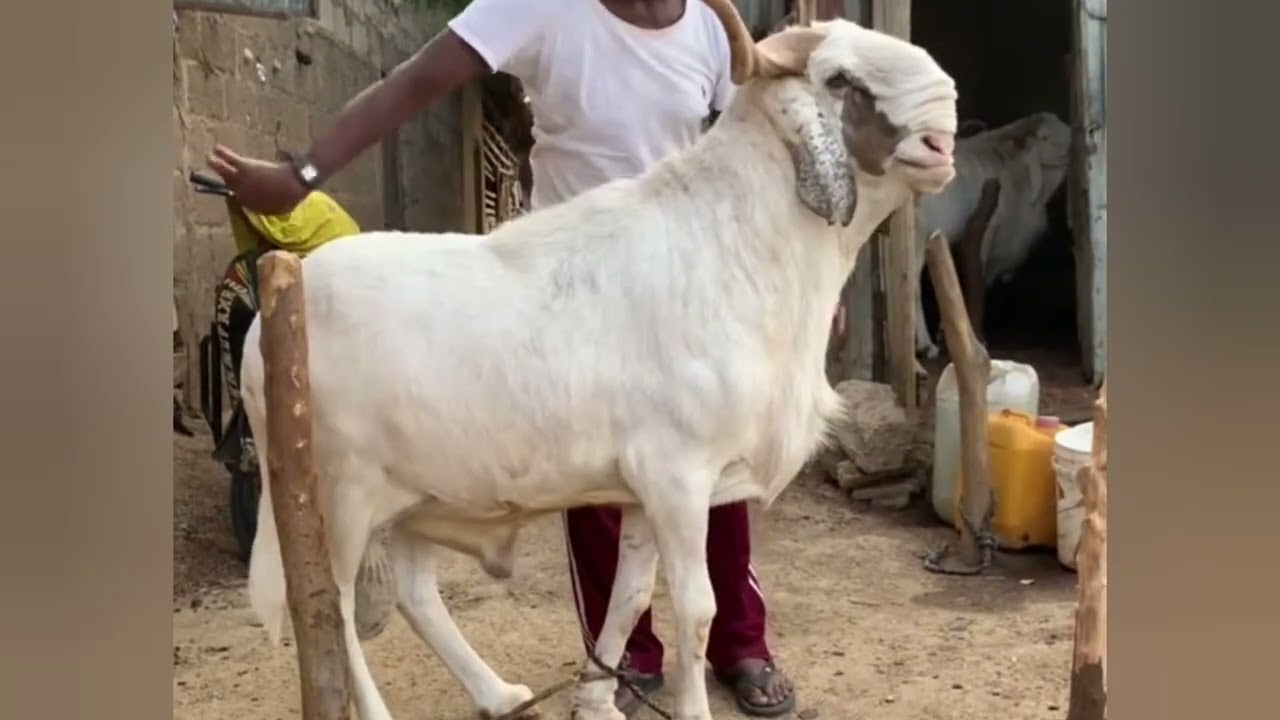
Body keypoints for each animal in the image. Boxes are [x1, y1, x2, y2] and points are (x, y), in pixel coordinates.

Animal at [912, 111, 1073, 358]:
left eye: (1064, 128)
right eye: (1045, 137)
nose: (1075, 146)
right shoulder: (986, 232)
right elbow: (976, 274)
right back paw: (925, 345)